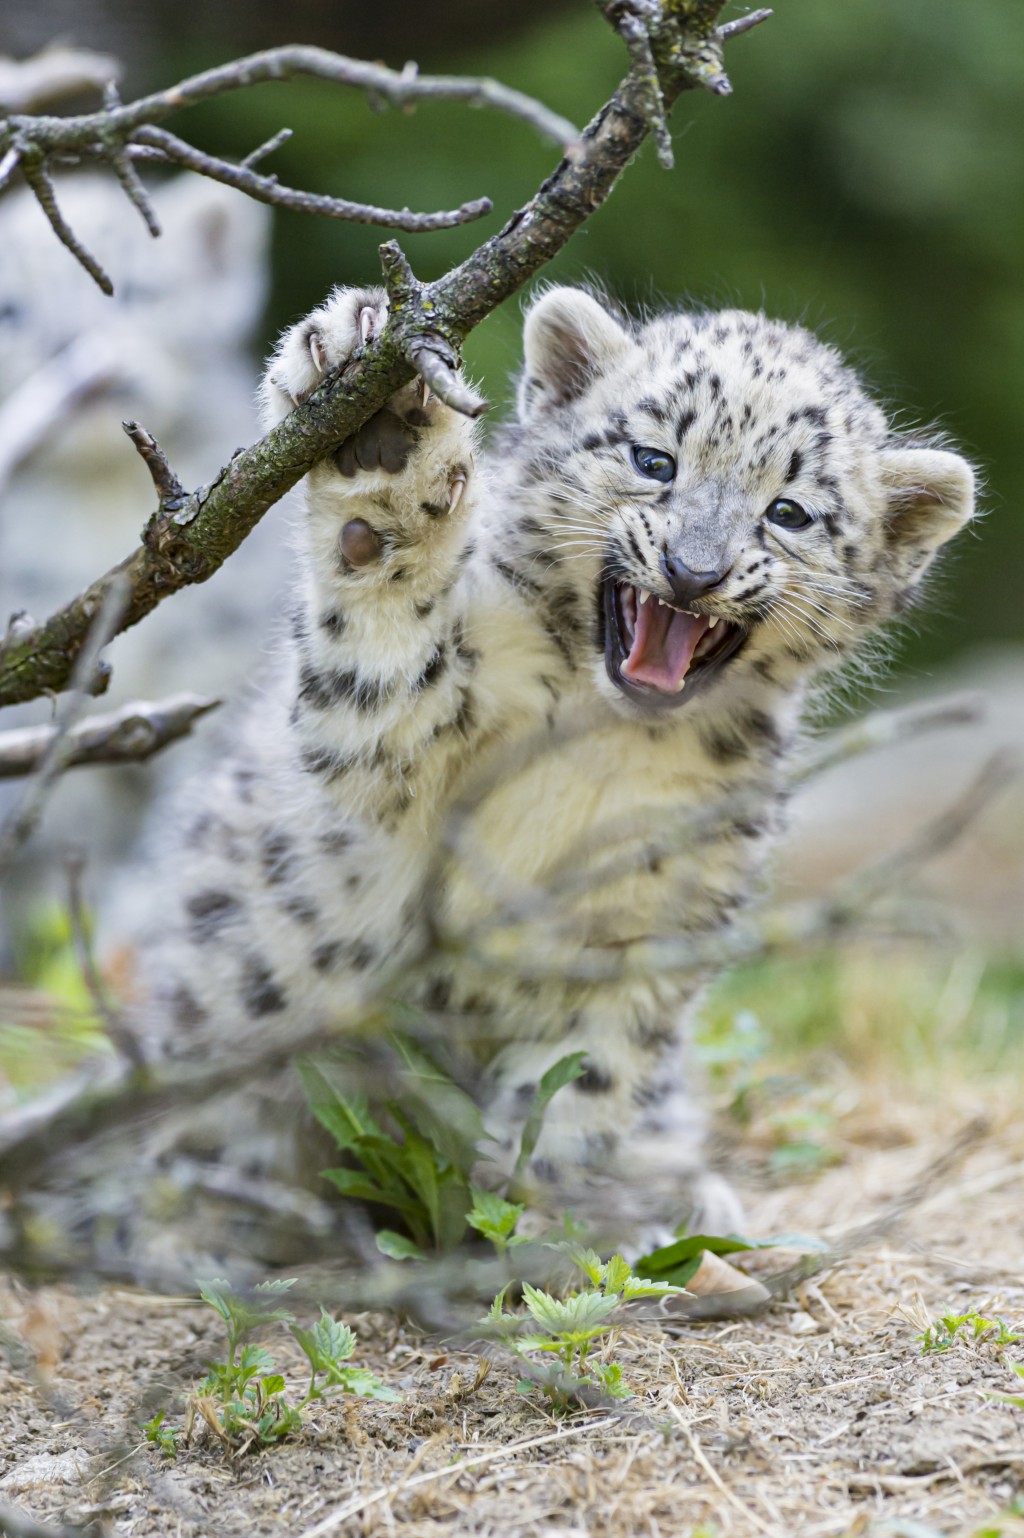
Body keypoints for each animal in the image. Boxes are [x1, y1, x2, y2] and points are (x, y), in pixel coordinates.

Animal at [126, 280, 974, 1265]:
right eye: (653, 459)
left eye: (789, 512)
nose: (694, 570)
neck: (600, 735)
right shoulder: (384, 741)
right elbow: (383, 631)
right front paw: (383, 428)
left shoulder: (646, 917)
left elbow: (585, 1084)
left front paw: (542, 1226)